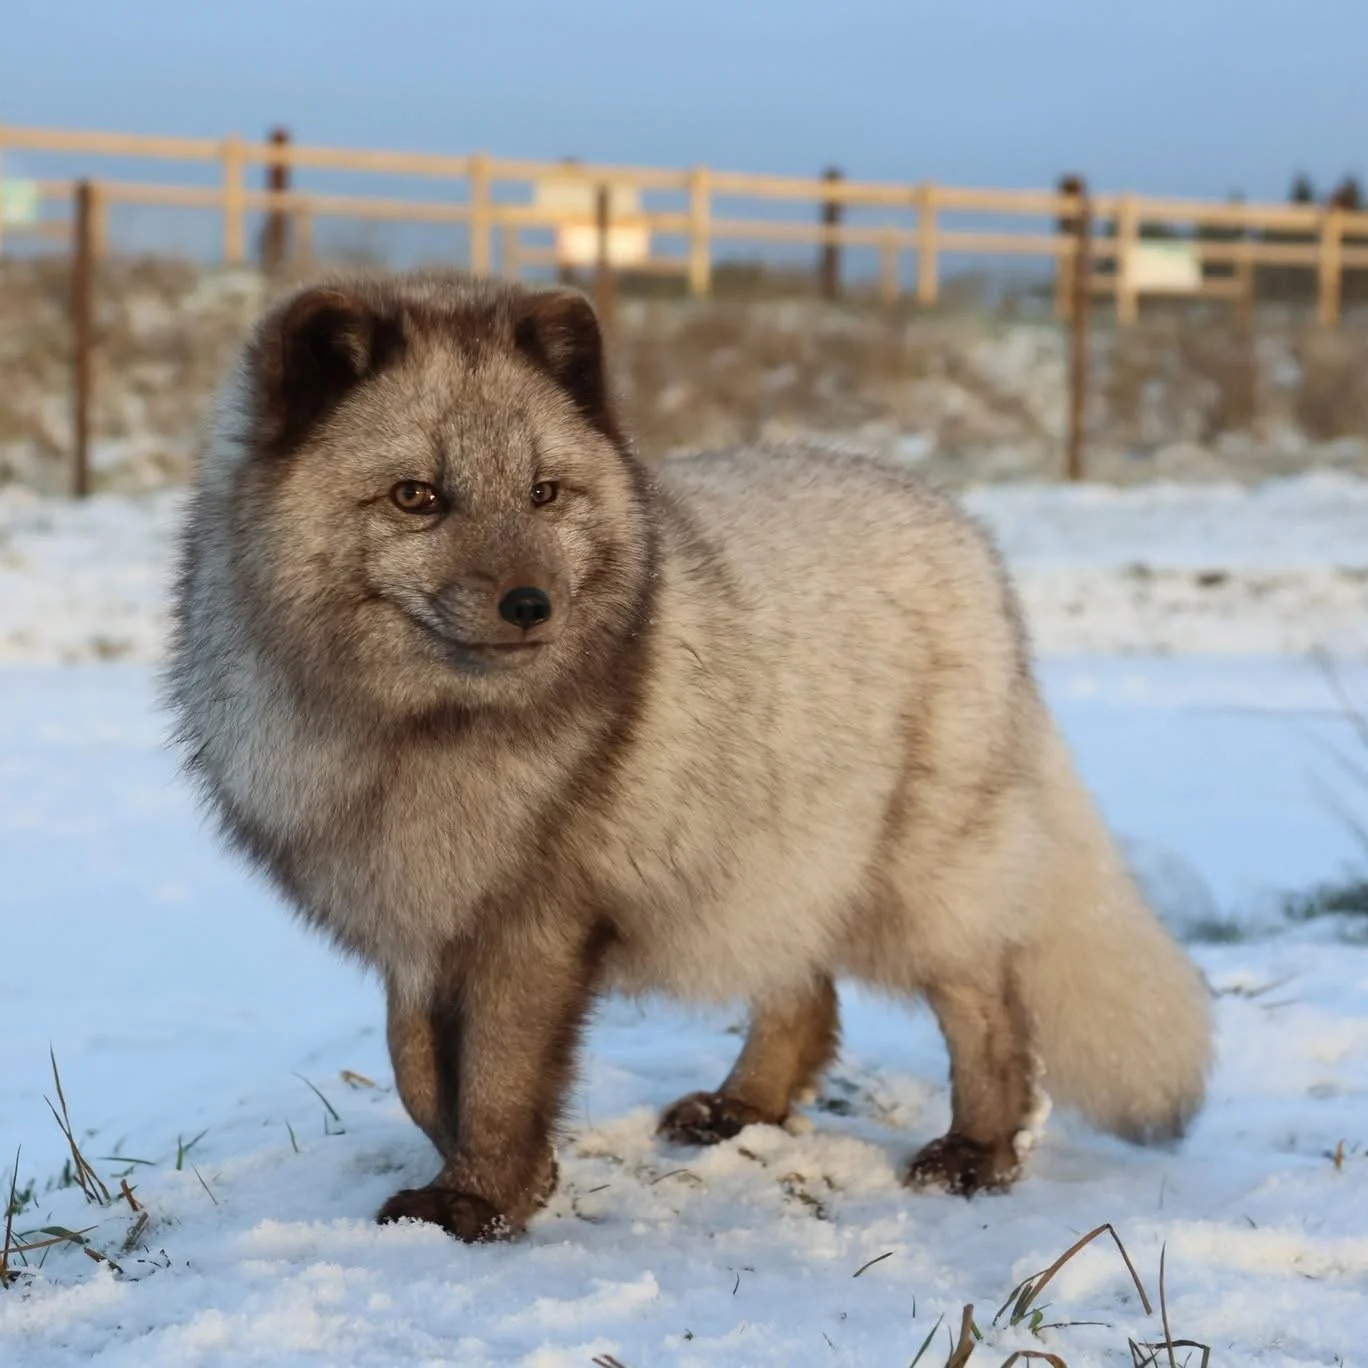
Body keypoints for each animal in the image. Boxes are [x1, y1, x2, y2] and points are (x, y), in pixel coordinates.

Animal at [166, 270, 1213, 1243]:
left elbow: (497, 1076)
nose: (531, 606)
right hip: (772, 849)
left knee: (991, 1013)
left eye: (544, 492)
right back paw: (744, 1108)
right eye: (416, 497)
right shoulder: (417, 925)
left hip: (917, 874)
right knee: (805, 992)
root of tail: (971, 539)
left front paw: (481, 1201)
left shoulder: (535, 924)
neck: (417, 734)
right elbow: (419, 1073)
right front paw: (503, 1178)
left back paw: (979, 1153)